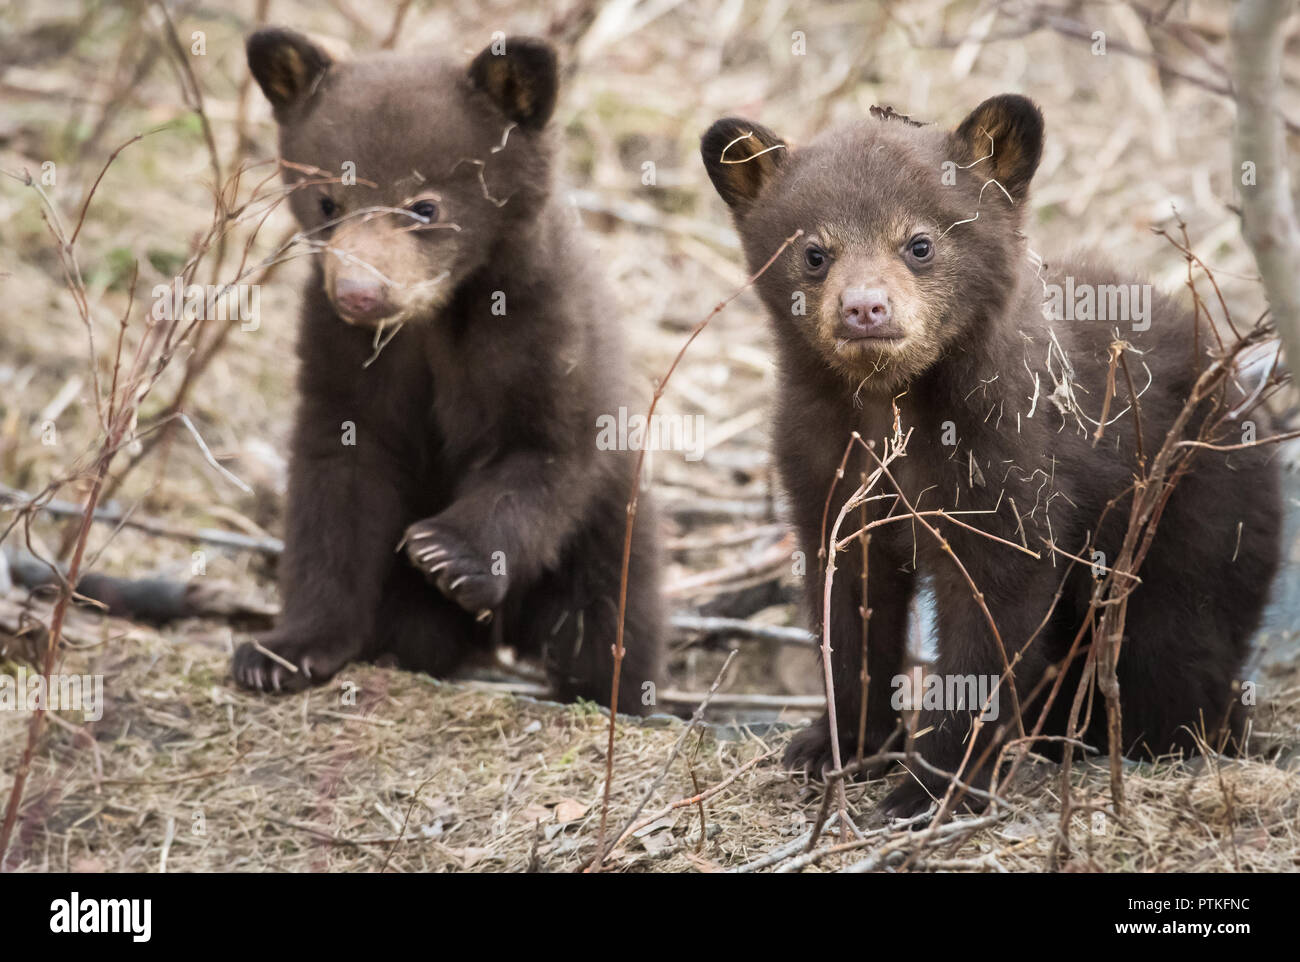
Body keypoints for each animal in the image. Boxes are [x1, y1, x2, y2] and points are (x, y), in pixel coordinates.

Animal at [231, 28, 663, 714]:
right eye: (327, 202)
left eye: (423, 206)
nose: (359, 294)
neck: (434, 317)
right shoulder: (344, 353)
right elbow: (337, 485)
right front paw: (280, 652)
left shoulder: (544, 326)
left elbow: (545, 452)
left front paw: (447, 554)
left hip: (612, 535)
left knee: (607, 620)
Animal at [701, 95, 1281, 817]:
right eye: (814, 253)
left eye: (920, 244)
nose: (865, 308)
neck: (889, 404)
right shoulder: (824, 467)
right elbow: (849, 602)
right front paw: (834, 746)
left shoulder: (1011, 463)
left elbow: (991, 614)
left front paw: (929, 787)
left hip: (1199, 513)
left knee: (1176, 643)